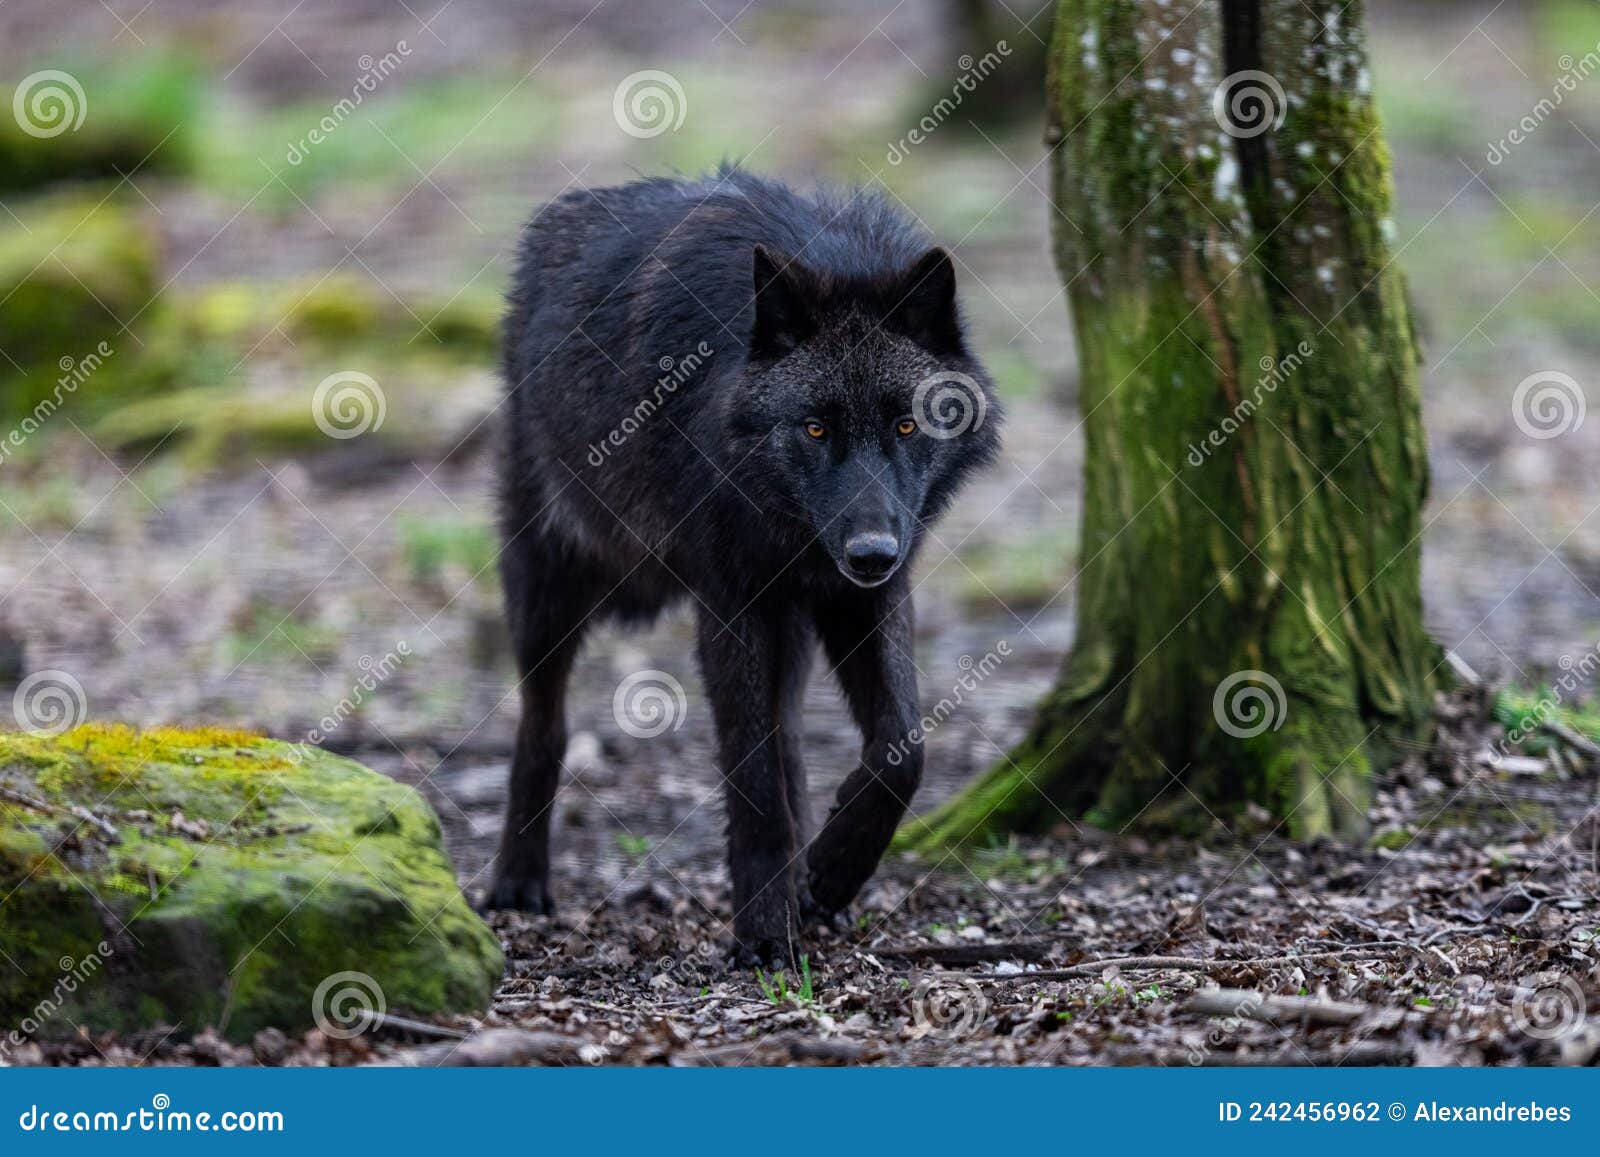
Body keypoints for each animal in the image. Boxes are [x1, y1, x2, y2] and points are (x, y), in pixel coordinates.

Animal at [487, 166, 1000, 962]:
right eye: (814, 427)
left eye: (906, 424)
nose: (870, 552)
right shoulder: (730, 603)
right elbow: (751, 779)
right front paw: (763, 930)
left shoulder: (866, 596)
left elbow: (901, 748)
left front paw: (833, 869)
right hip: (545, 586)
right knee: (544, 725)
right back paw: (517, 883)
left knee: (789, 737)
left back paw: (807, 879)